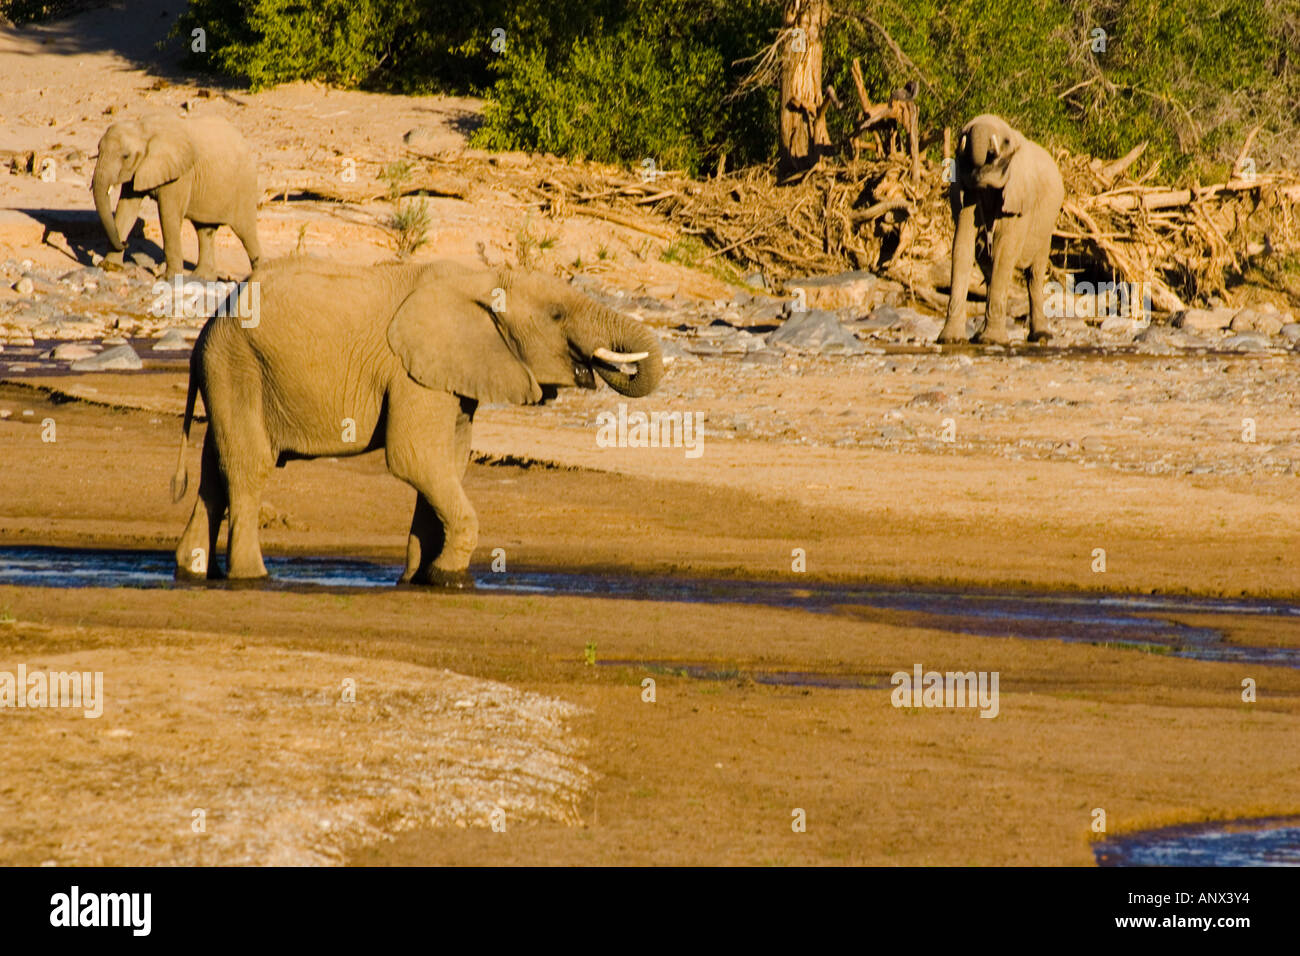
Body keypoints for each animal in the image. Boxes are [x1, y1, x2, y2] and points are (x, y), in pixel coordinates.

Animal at [92, 112, 261, 280]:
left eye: (126, 156)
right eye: (98, 150)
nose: (124, 242)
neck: (143, 128)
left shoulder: (181, 173)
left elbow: (168, 215)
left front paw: (168, 278)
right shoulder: (138, 169)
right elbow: (126, 209)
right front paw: (109, 266)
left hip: (244, 187)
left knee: (246, 232)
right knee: (204, 230)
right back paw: (201, 277)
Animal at [170, 257, 665, 587]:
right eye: (557, 316)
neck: (484, 279)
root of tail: (209, 323)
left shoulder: (451, 375)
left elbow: (450, 462)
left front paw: (417, 577)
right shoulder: (411, 372)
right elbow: (416, 459)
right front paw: (449, 578)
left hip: (230, 369)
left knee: (215, 471)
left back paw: (192, 570)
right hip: (236, 364)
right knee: (249, 467)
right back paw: (251, 577)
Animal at [938, 114, 1064, 345]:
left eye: (1005, 142)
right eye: (962, 137)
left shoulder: (1019, 196)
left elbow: (1004, 251)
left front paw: (993, 341)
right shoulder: (967, 192)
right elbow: (962, 246)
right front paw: (950, 340)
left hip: (1046, 226)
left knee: (1034, 275)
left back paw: (1040, 336)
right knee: (988, 270)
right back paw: (978, 336)